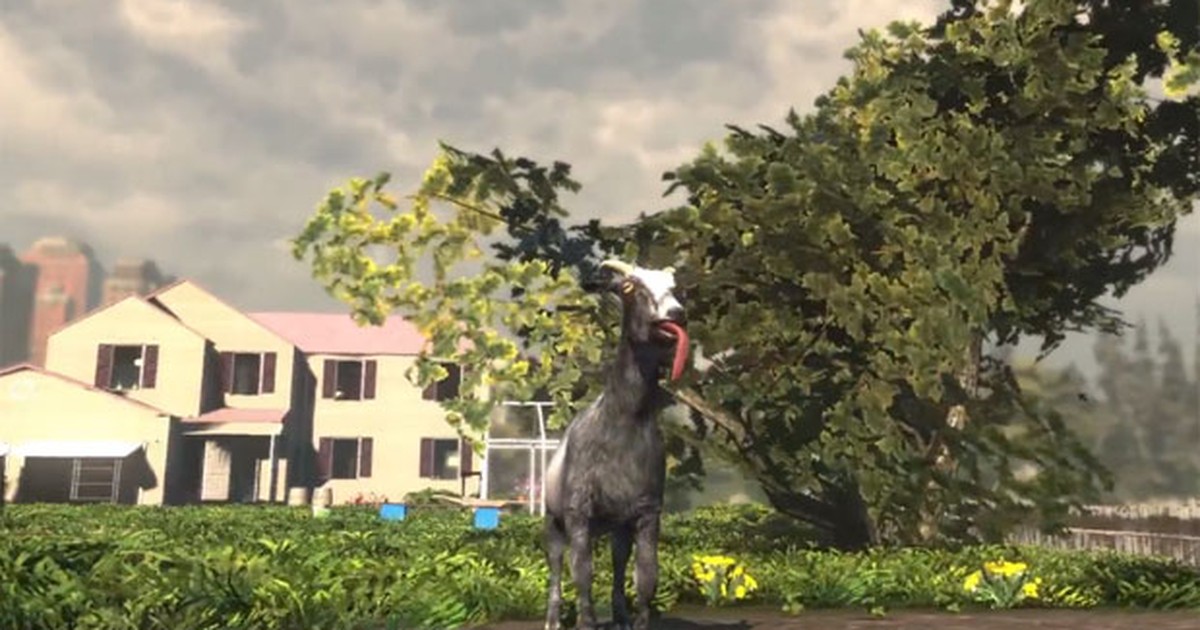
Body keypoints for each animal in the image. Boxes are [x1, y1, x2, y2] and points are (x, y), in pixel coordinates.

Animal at [542, 259, 689, 630]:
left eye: (674, 287)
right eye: (628, 287)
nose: (676, 314)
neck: (623, 422)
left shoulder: (647, 510)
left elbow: (647, 576)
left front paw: (636, 622)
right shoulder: (578, 510)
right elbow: (581, 572)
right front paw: (585, 622)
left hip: (616, 525)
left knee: (619, 563)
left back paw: (619, 616)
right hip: (553, 518)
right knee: (556, 563)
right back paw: (553, 619)